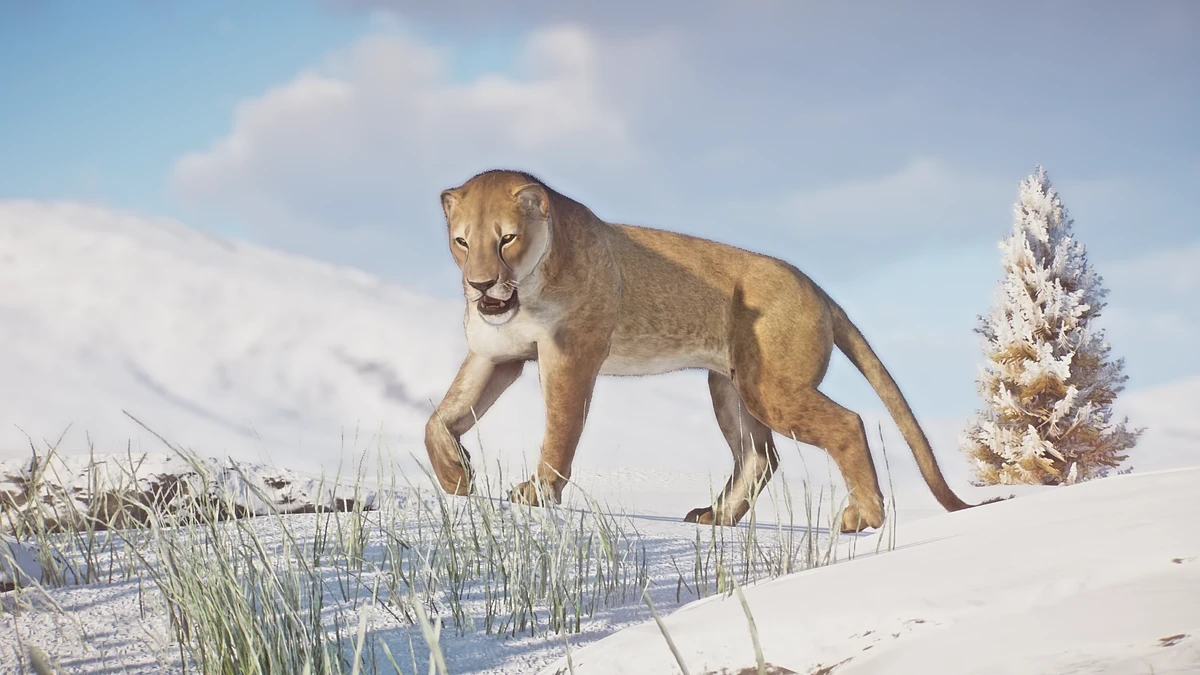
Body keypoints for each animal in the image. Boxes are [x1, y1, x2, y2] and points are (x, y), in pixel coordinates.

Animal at [424, 169, 973, 533]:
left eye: (507, 239)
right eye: (461, 241)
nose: (481, 284)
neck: (524, 291)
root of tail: (813, 285)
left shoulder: (571, 355)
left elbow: (559, 430)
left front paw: (536, 494)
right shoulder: (497, 356)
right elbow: (441, 417)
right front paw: (456, 476)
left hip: (769, 387)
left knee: (846, 424)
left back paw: (865, 517)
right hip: (730, 384)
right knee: (759, 455)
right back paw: (716, 516)